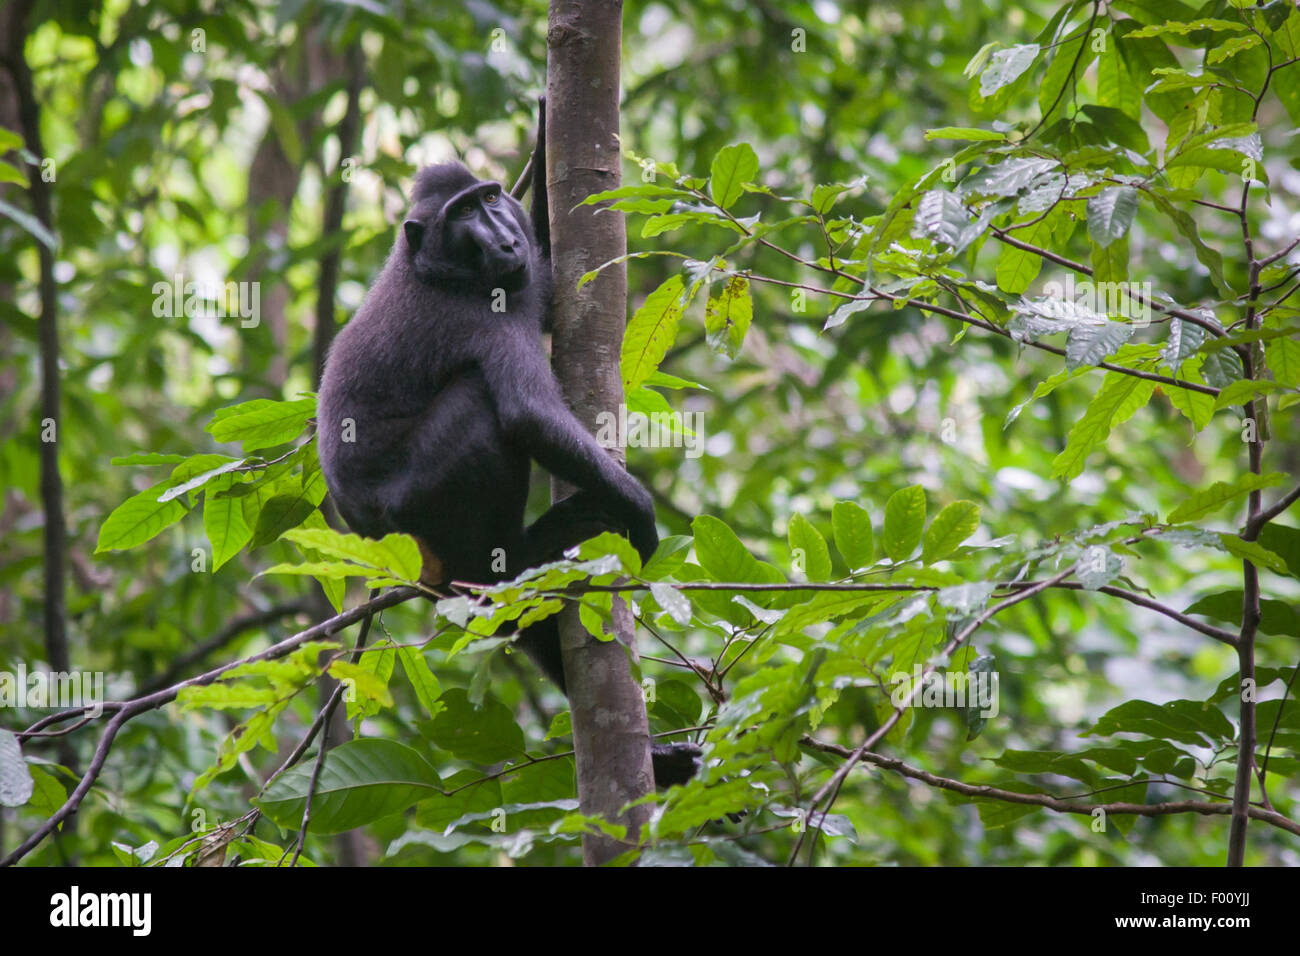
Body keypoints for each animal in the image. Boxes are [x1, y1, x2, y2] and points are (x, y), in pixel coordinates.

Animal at [317, 108, 701, 788]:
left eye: (491, 200)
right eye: (464, 215)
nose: (501, 237)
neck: (436, 268)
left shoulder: (524, 277)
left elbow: (549, 255)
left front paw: (546, 115)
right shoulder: (487, 314)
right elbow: (528, 415)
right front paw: (640, 511)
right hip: (421, 499)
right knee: (481, 405)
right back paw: (522, 552)